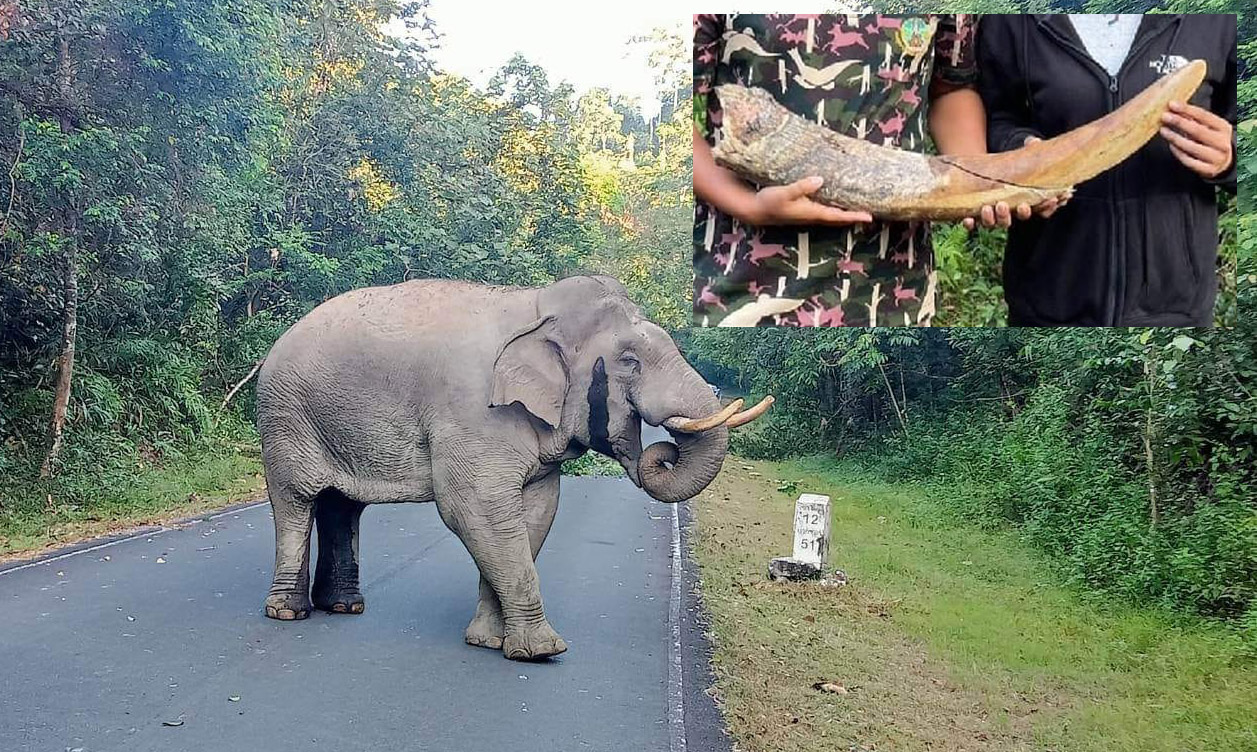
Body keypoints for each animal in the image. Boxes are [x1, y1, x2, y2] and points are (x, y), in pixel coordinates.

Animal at [255, 276, 772, 660]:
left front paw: (489, 642)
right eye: (629, 361)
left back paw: (344, 606)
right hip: (285, 419)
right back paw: (288, 613)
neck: (537, 306)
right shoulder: (474, 415)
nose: (661, 451)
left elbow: (535, 511)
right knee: (297, 501)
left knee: (342, 506)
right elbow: (474, 509)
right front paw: (543, 651)